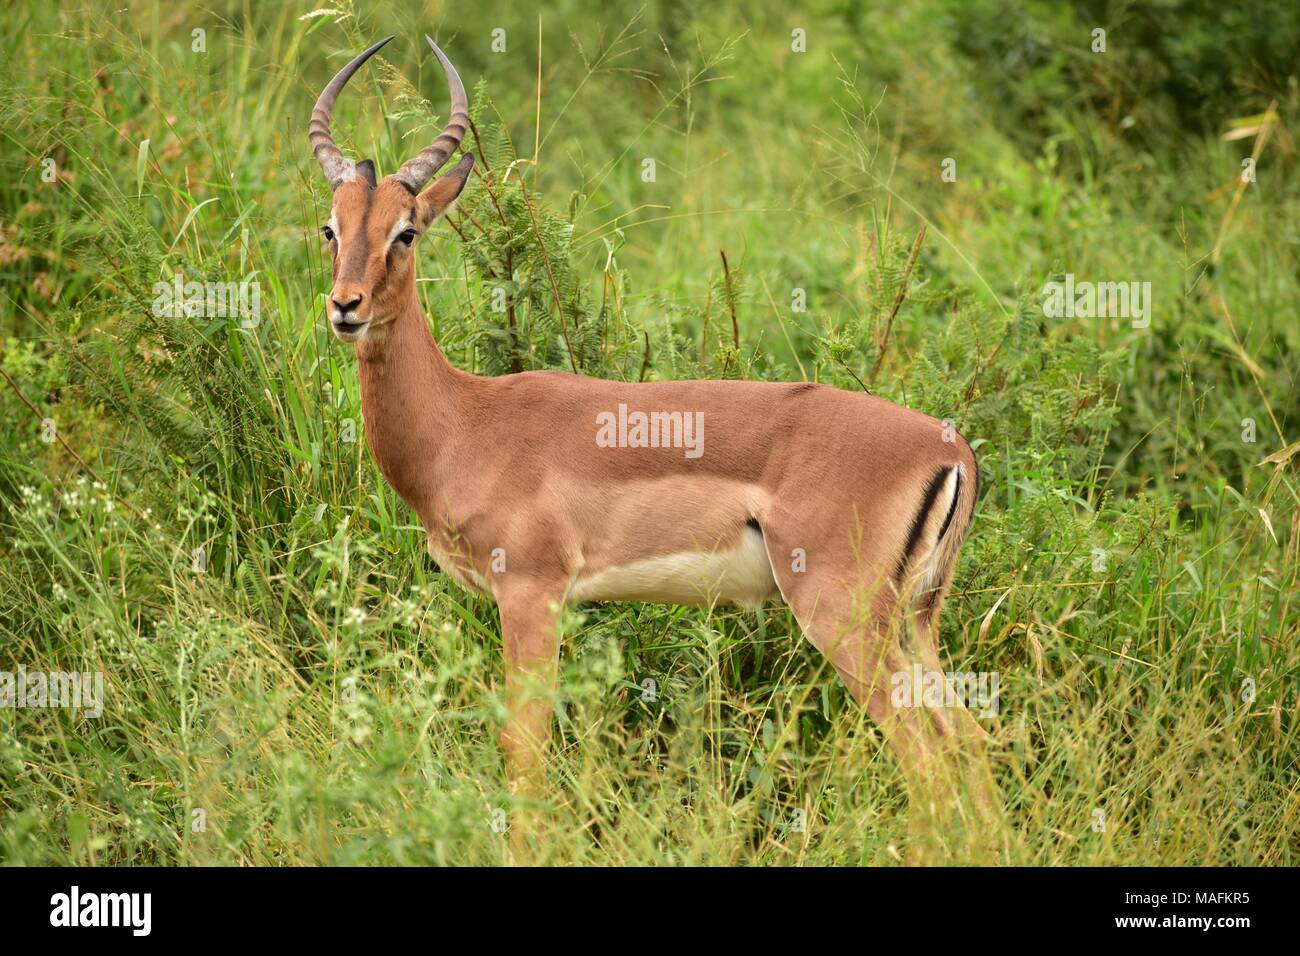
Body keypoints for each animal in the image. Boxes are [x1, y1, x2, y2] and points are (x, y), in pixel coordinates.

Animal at [308, 35, 1001, 859]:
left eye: (405, 230)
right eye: (331, 226)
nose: (345, 307)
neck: (466, 422)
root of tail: (953, 451)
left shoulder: (532, 594)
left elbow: (523, 752)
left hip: (844, 619)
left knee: (926, 760)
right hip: (914, 622)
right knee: (968, 745)